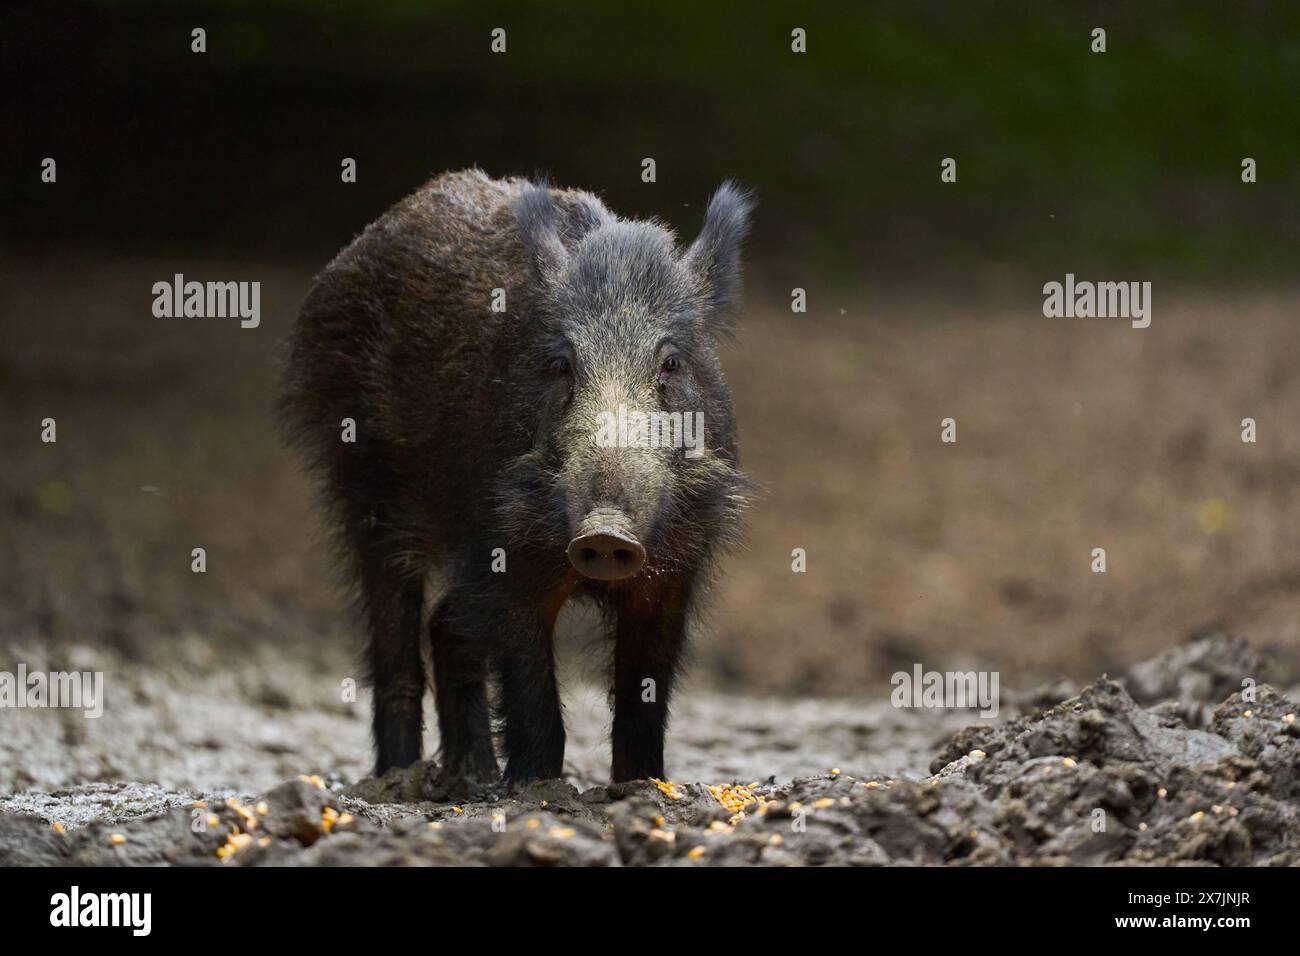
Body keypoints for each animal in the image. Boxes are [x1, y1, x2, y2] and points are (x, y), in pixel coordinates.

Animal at [278, 169, 752, 786]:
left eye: (670, 362)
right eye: (562, 365)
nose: (606, 532)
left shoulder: (675, 571)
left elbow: (644, 697)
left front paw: (644, 784)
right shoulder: (508, 553)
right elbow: (531, 695)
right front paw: (532, 785)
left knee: (446, 622)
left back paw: (471, 776)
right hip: (364, 470)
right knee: (397, 629)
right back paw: (402, 776)